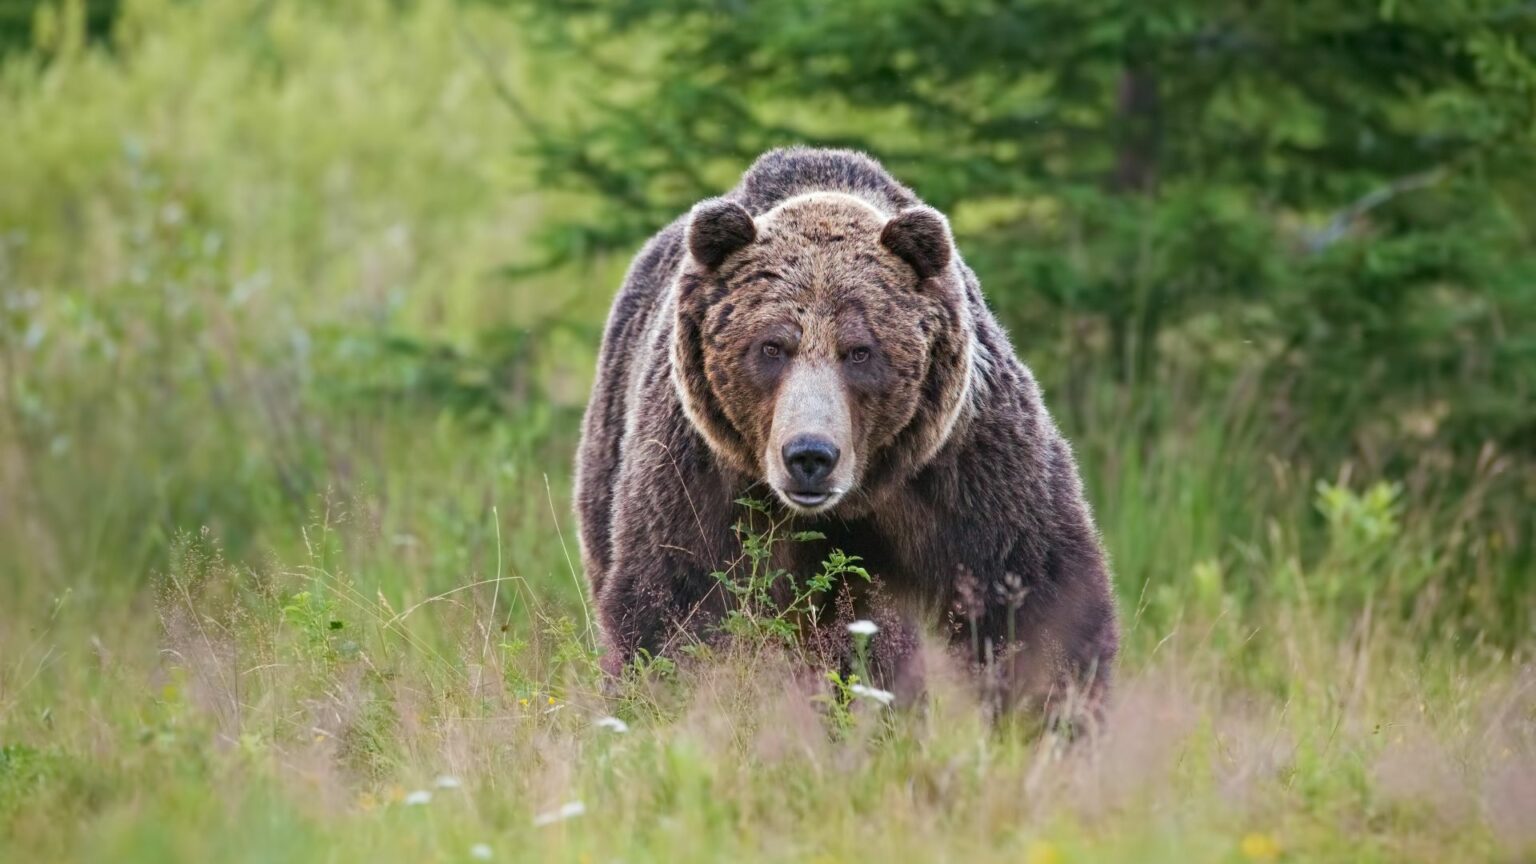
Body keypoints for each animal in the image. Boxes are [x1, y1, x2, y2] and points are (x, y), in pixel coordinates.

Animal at [575, 147, 1118, 719]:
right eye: (771, 346)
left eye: (860, 350)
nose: (810, 455)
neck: (854, 496)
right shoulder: (702, 476)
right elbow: (674, 603)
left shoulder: (965, 466)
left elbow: (1033, 595)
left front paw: (1055, 715)